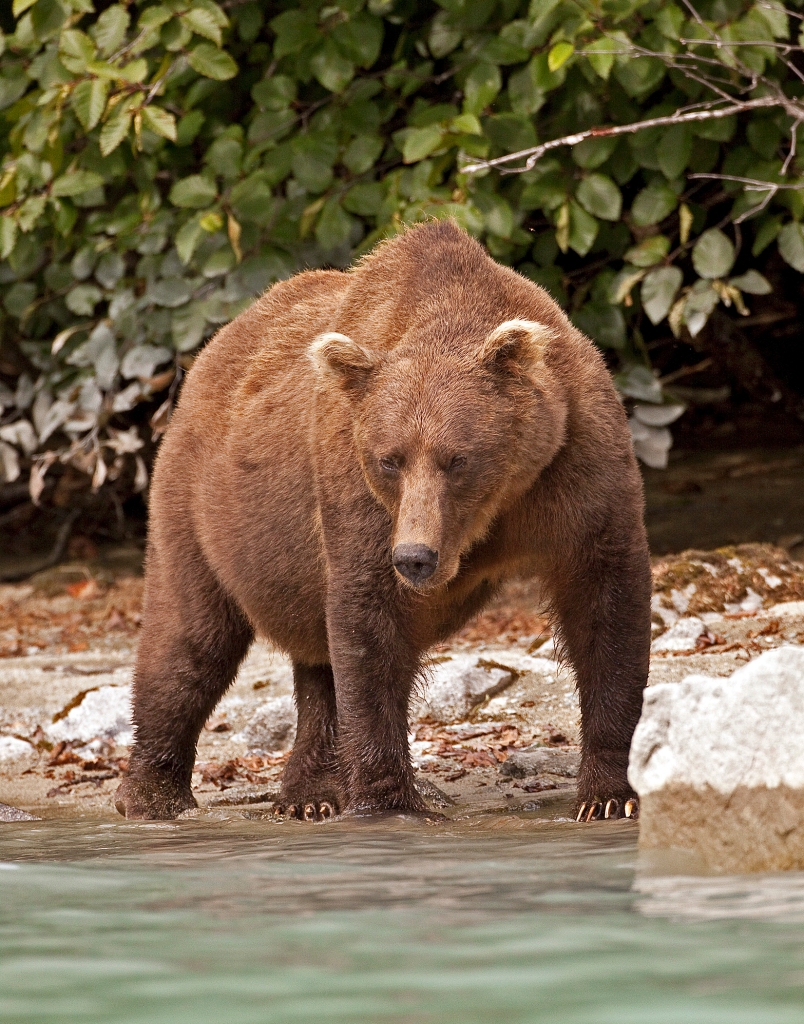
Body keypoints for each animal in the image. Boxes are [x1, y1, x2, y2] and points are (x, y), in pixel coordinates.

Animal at [115, 219, 651, 823]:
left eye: (457, 458)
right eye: (390, 458)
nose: (414, 557)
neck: (497, 507)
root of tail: (211, 351)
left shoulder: (576, 471)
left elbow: (606, 605)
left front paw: (608, 794)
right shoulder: (358, 492)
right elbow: (370, 624)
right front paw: (389, 802)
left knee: (314, 656)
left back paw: (308, 794)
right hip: (199, 506)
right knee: (192, 637)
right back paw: (152, 795)